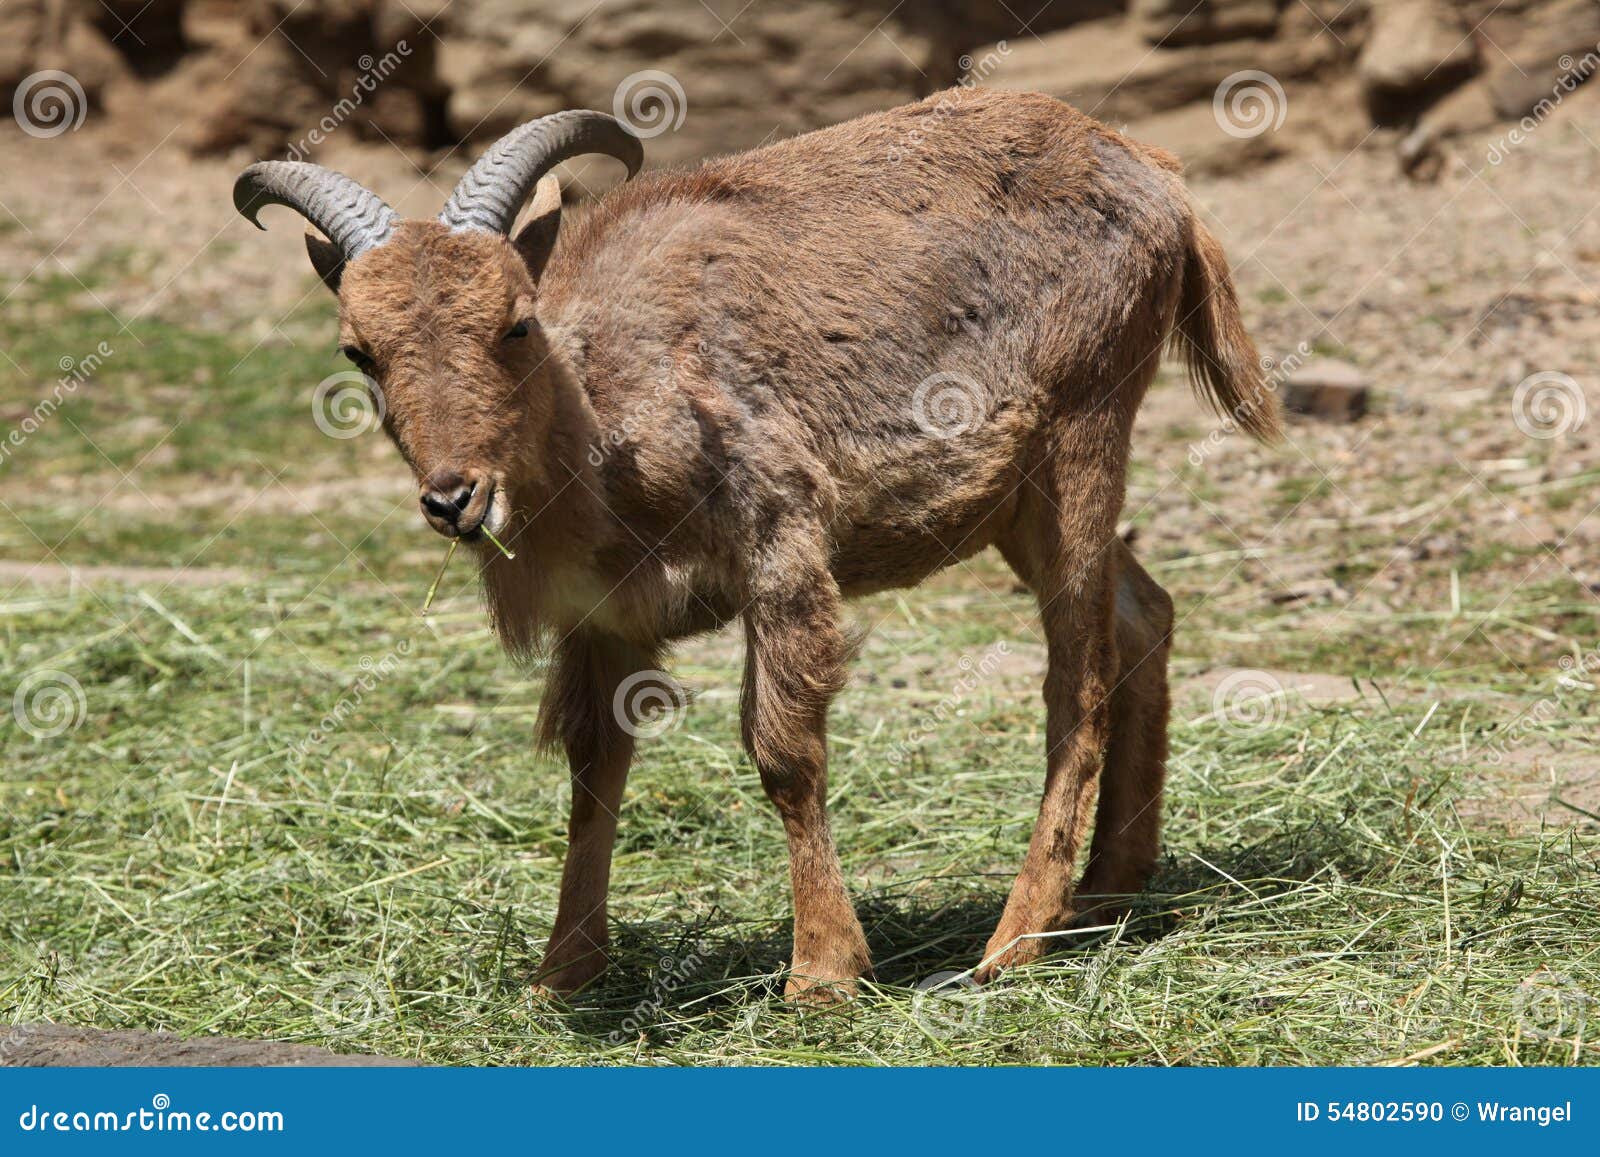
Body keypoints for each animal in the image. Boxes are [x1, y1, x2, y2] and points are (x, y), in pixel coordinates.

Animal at [234, 86, 1280, 999]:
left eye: (517, 322)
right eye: (359, 351)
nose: (456, 497)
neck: (617, 410)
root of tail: (1154, 173)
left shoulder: (780, 543)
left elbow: (783, 751)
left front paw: (821, 972)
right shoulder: (602, 623)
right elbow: (591, 771)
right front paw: (561, 974)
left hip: (1082, 435)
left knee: (1079, 674)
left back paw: (1015, 938)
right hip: (1016, 503)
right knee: (1144, 613)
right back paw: (1109, 886)